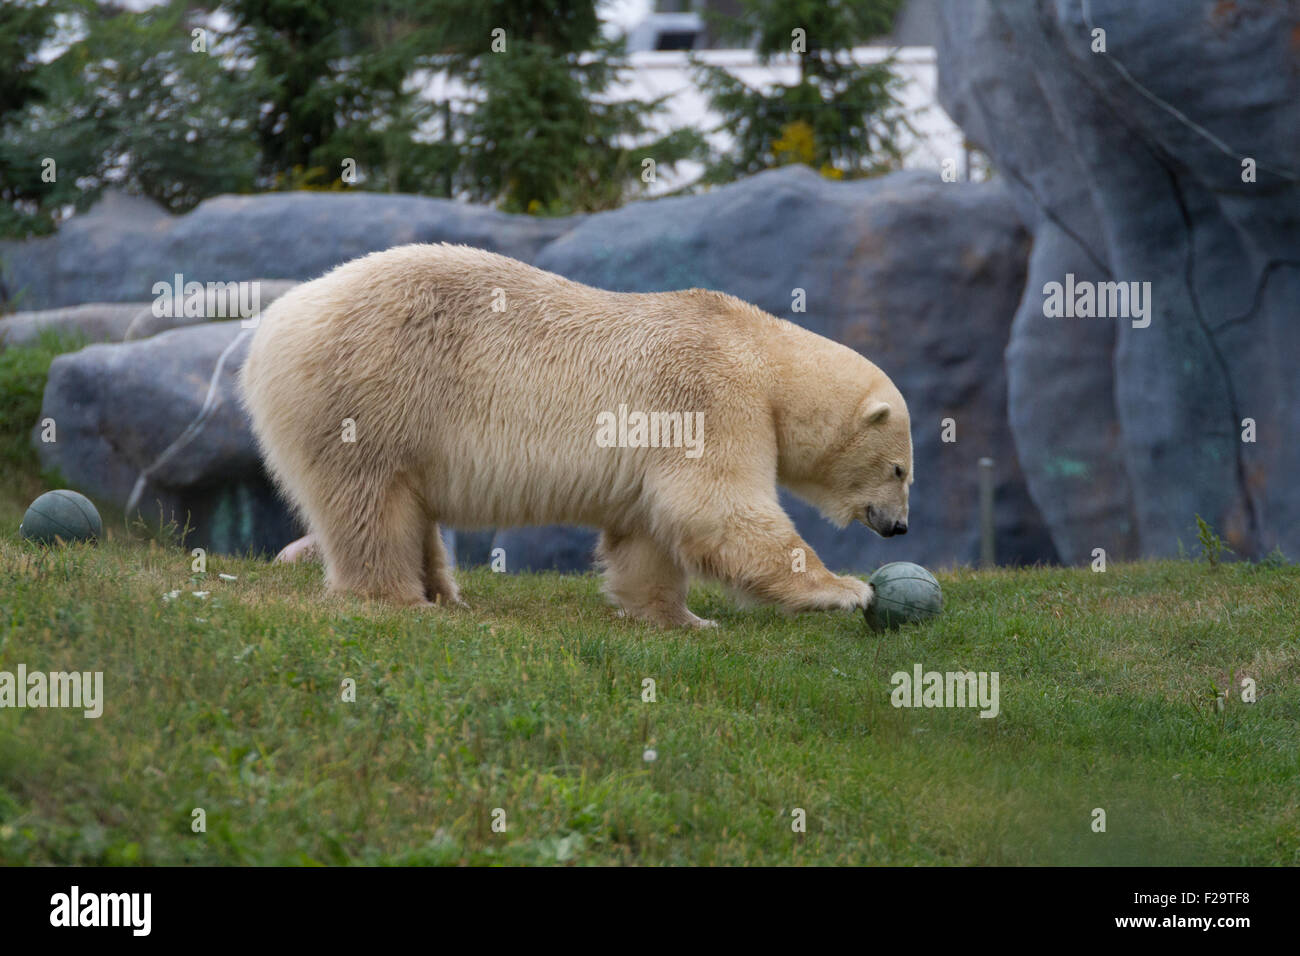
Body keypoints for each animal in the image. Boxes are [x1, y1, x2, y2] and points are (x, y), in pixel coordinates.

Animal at [239, 243, 913, 628]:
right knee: (370, 499)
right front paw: (845, 590)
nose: (899, 526)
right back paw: (399, 600)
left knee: (407, 502)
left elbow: (649, 529)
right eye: (901, 468)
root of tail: (278, 321)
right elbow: (715, 506)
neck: (761, 356)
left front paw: (681, 619)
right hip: (373, 389)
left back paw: (446, 593)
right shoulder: (712, 395)